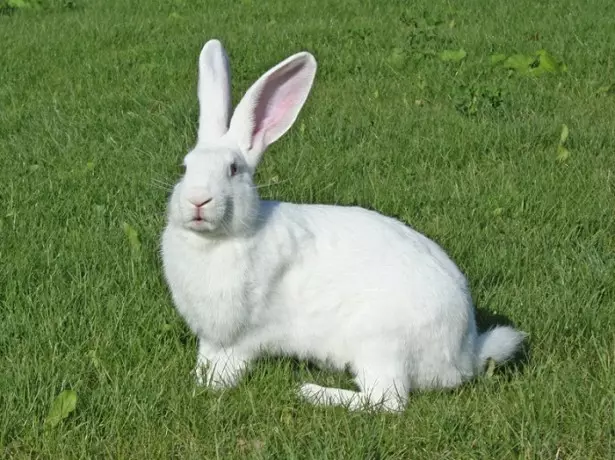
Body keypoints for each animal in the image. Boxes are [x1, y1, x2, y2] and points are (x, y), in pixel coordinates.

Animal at [161, 40, 528, 414]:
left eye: (233, 169)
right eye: (185, 167)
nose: (197, 200)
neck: (218, 240)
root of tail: (464, 354)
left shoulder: (237, 341)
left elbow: (228, 367)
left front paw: (212, 386)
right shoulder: (211, 340)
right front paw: (198, 379)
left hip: (380, 343)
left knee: (387, 401)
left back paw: (311, 391)